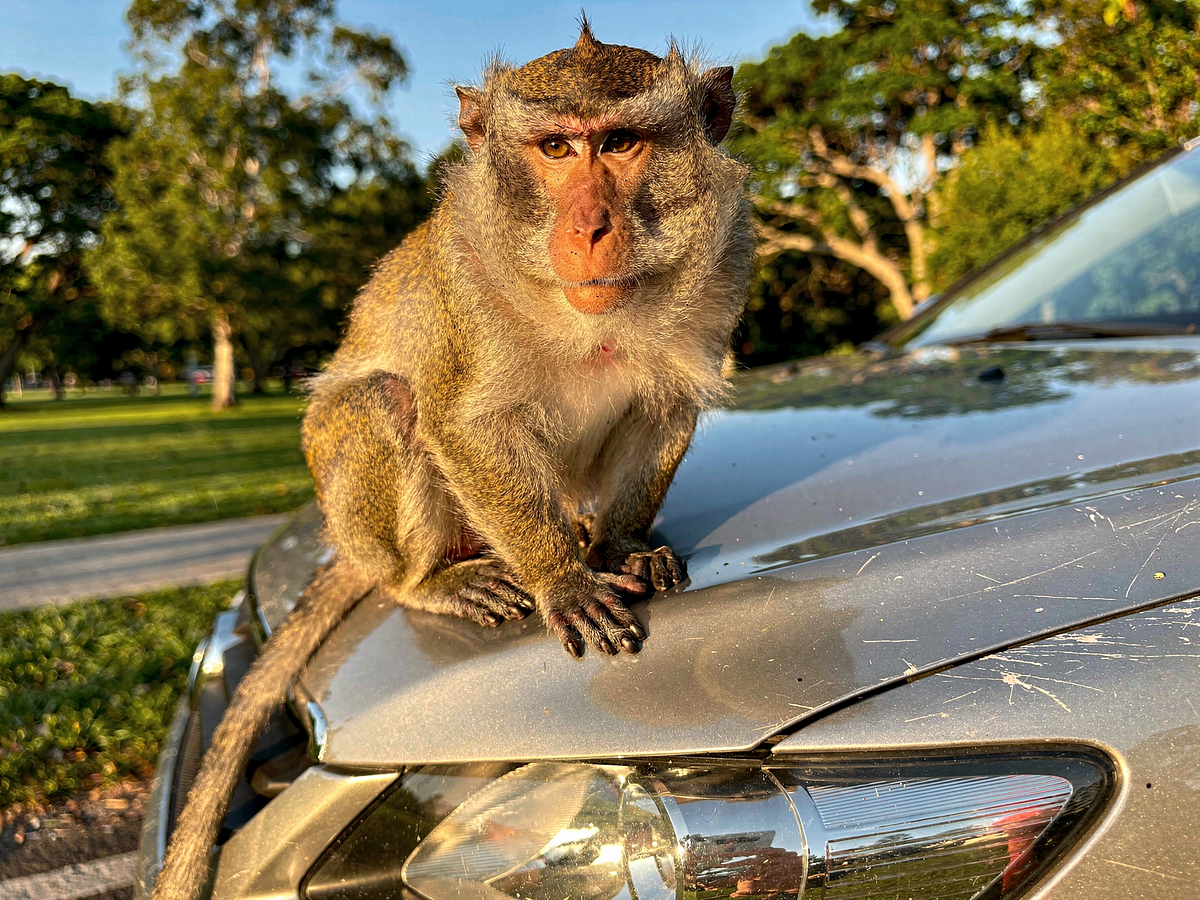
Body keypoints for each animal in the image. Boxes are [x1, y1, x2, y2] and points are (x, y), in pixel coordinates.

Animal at [151, 22, 751, 900]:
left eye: (621, 143)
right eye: (557, 148)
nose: (590, 227)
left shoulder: (720, 266)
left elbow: (664, 407)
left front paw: (618, 546)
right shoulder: (467, 286)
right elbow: (458, 422)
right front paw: (562, 578)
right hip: (363, 514)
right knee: (388, 404)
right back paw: (433, 580)